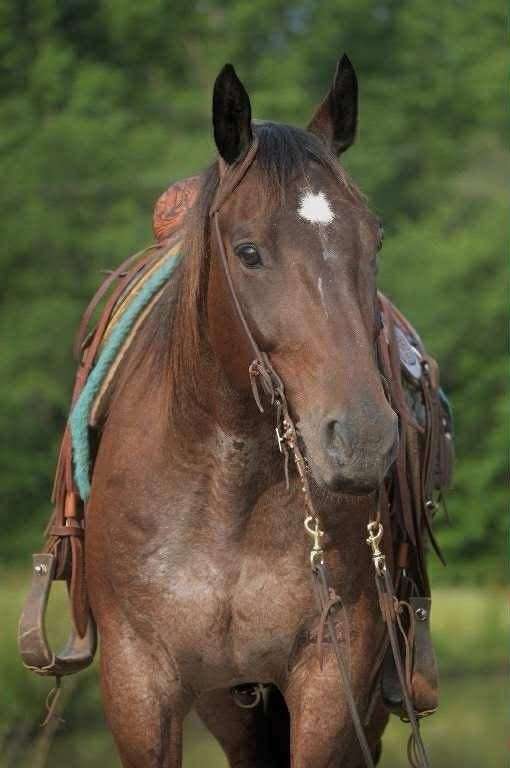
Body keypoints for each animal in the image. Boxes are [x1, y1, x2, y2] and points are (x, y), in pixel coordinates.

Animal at [87, 56, 400, 768]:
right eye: (249, 252)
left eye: (374, 240)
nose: (364, 438)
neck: (226, 493)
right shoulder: (137, 681)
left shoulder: (333, 674)